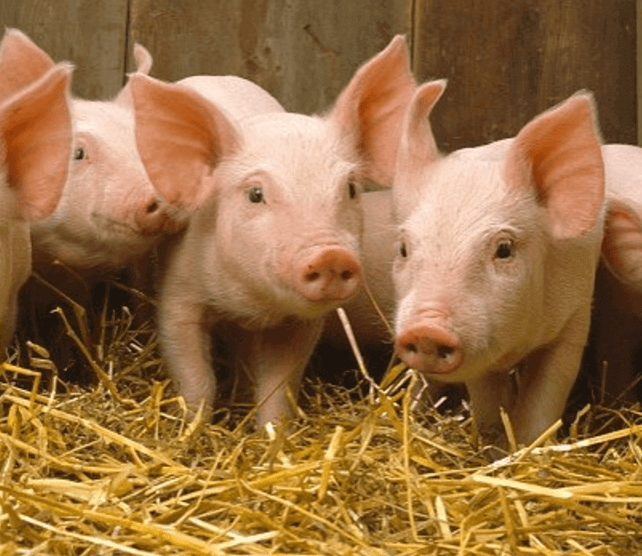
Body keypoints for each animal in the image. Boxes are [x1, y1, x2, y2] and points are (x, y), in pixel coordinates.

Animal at [130, 36, 417, 424]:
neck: (249, 303)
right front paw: (191, 428)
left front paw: (269, 434)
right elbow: (197, 380)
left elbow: (278, 388)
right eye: (255, 194)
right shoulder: (179, 295)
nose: (330, 255)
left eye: (351, 188)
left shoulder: (304, 323)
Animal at [390, 80, 605, 447]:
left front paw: (526, 447)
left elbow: (546, 394)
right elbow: (488, 399)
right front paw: (495, 446)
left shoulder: (576, 316)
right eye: (404, 248)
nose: (426, 329)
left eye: (504, 248)